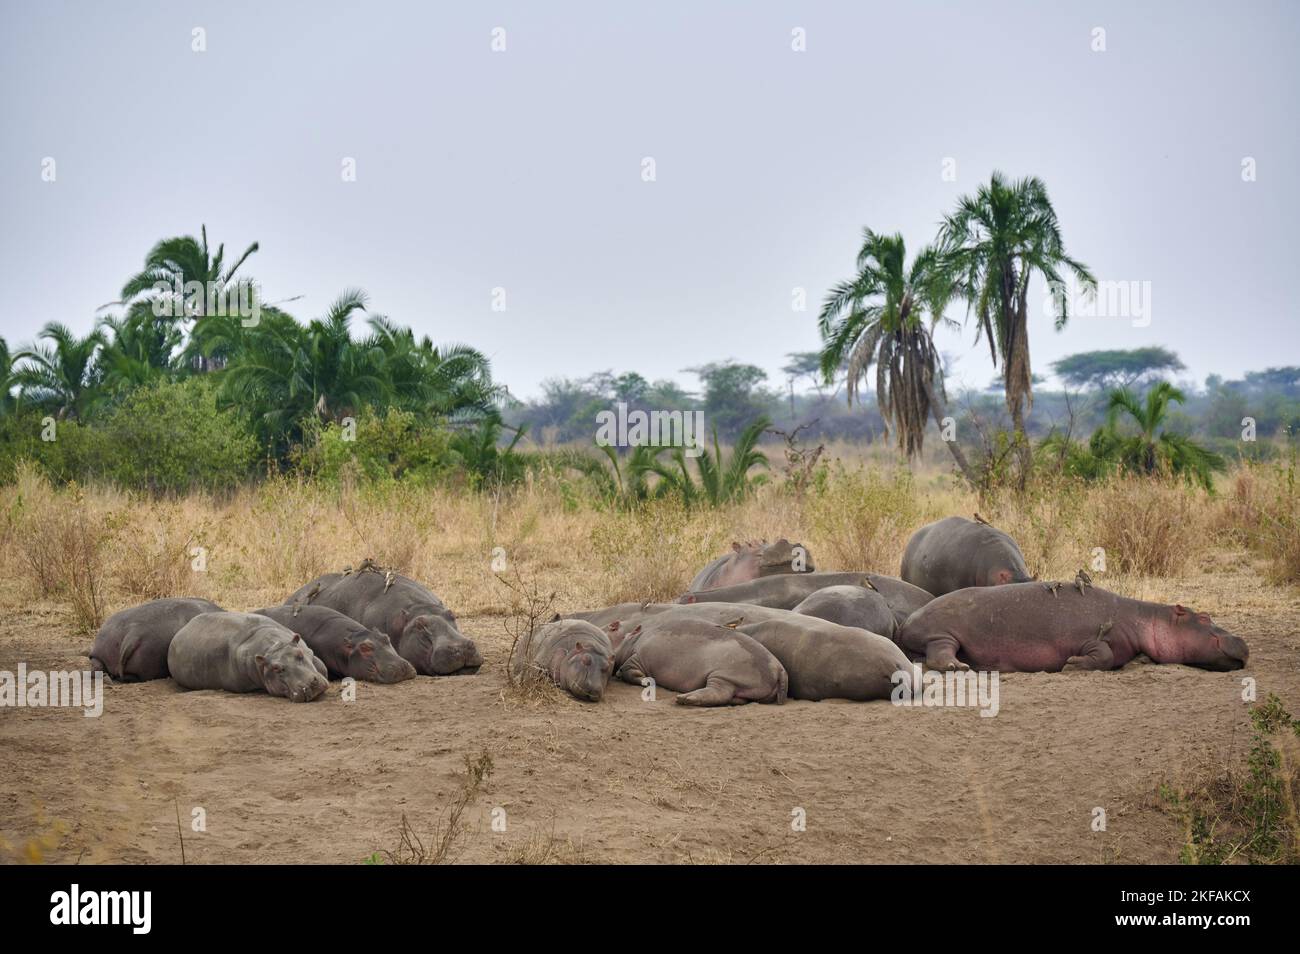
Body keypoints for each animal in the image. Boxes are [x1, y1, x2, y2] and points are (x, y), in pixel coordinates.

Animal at [168, 612, 330, 702]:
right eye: (276, 668)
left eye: (300, 654)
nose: (308, 684)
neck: (273, 648)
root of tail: (184, 628)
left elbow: (322, 667)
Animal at [614, 616, 787, 706]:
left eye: (623, 636)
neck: (635, 640)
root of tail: (779, 669)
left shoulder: (637, 658)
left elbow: (629, 670)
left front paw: (644, 681)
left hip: (724, 675)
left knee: (719, 693)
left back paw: (684, 698)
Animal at [896, 581, 1250, 673]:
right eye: (1203, 618)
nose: (1242, 641)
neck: (1143, 618)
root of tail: (908, 621)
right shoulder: (1090, 638)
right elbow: (1103, 655)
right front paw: (1071, 665)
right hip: (943, 633)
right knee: (940, 654)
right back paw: (959, 668)